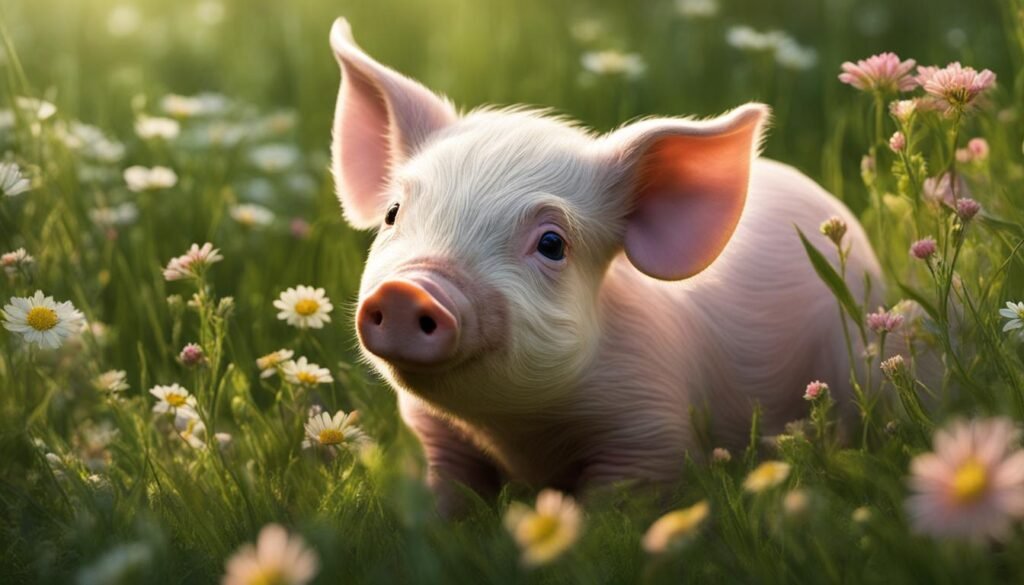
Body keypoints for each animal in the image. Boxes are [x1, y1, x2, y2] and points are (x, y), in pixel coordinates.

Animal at [328, 18, 882, 512]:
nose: (408, 290)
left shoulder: (649, 430)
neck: (513, 428)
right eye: (393, 213)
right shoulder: (438, 436)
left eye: (552, 244)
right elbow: (450, 496)